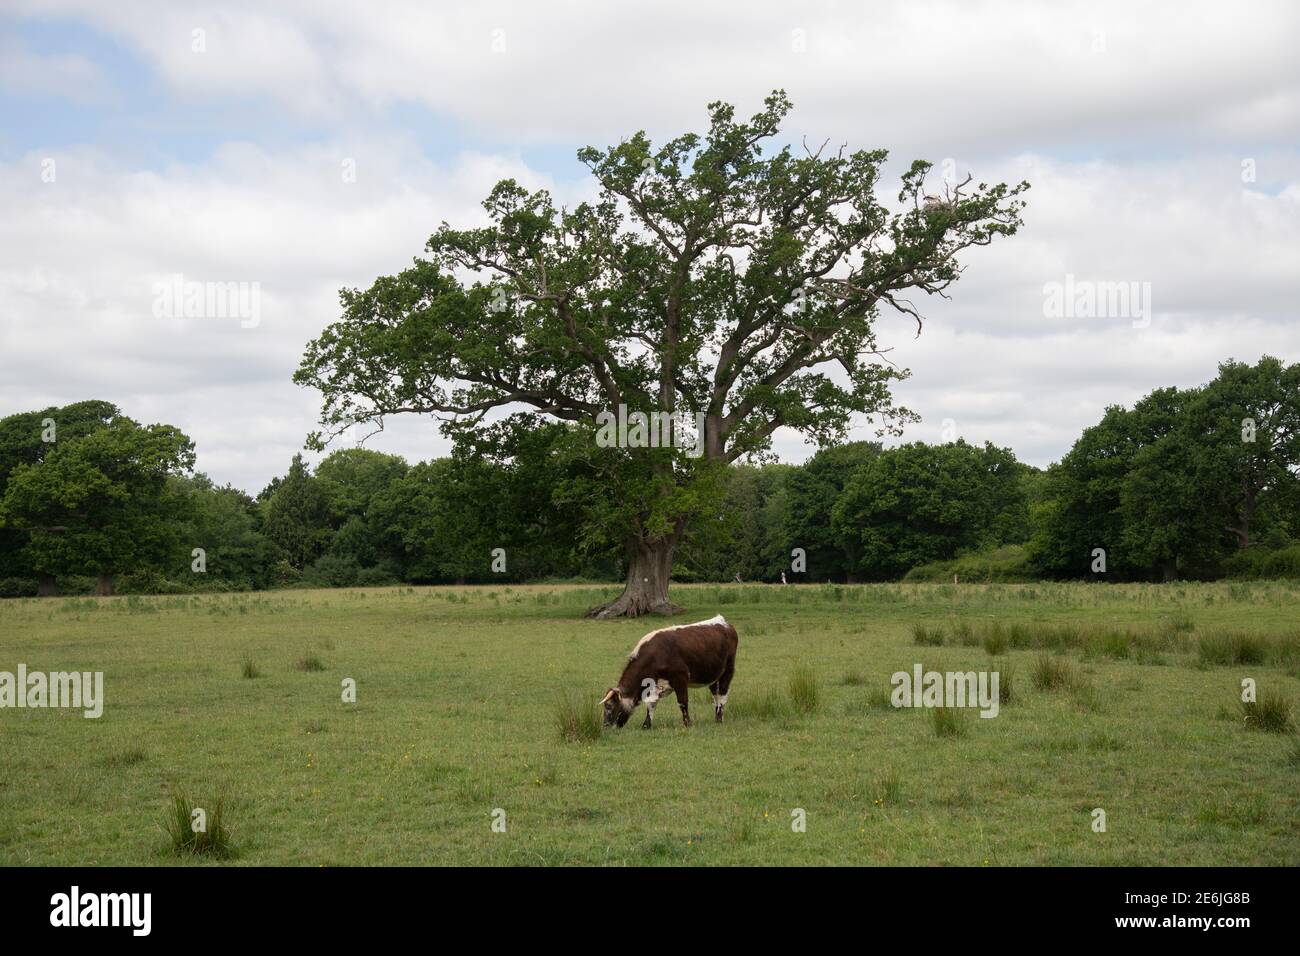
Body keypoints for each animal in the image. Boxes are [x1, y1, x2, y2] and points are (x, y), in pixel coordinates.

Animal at [600, 614, 738, 730]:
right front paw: (646, 725)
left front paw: (687, 724)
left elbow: (682, 702)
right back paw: (716, 717)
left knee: (723, 694)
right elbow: (651, 704)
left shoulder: (680, 679)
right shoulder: (655, 687)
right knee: (715, 695)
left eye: (609, 706)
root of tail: (723, 622)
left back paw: (719, 719)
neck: (656, 655)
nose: (606, 727)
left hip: (728, 670)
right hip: (713, 675)